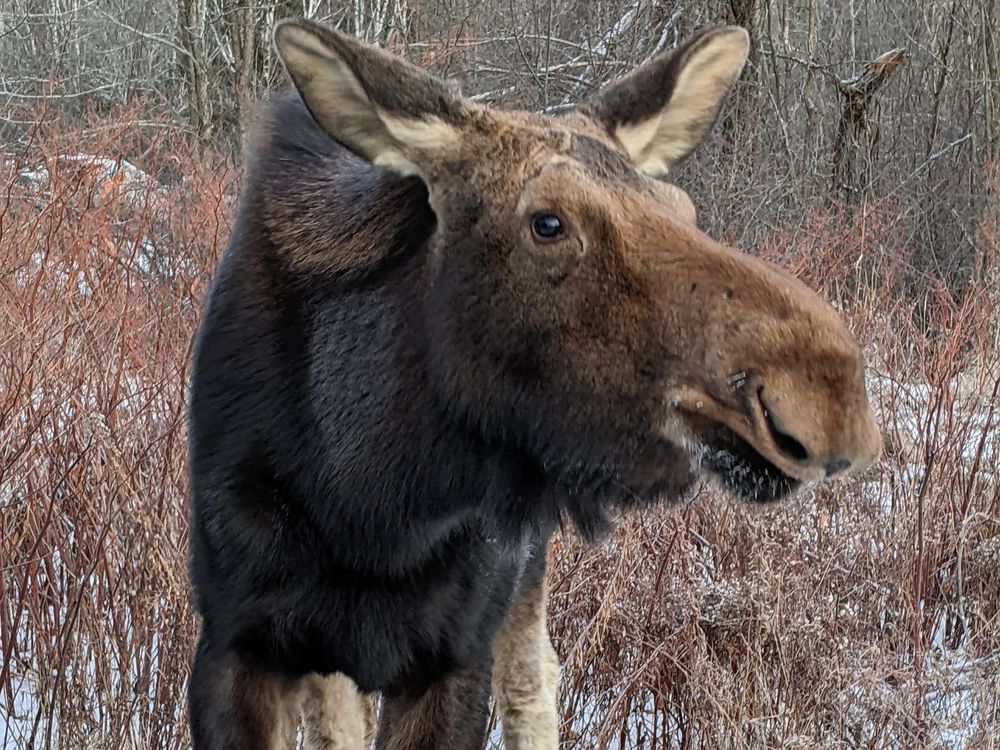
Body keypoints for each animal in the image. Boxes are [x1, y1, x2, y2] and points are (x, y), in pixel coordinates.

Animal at [186, 17, 881, 750]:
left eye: (682, 207)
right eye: (548, 222)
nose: (830, 402)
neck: (369, 505)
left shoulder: (454, 651)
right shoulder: (236, 638)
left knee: (534, 683)